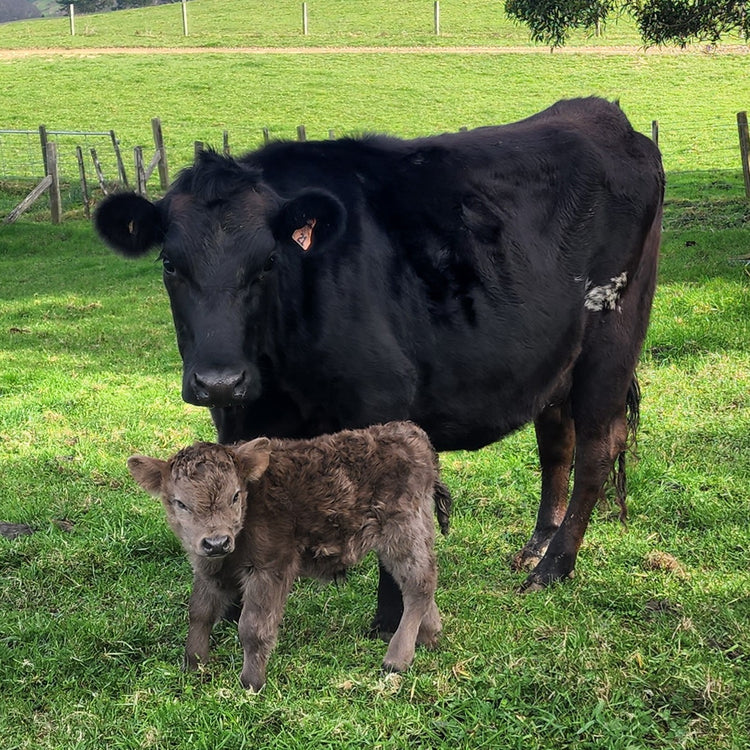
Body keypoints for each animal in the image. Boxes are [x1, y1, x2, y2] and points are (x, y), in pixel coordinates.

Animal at [96, 97, 664, 632]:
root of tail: (606, 117)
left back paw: (553, 568)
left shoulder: (385, 400)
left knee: (596, 451)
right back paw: (537, 547)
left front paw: (391, 618)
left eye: (269, 262)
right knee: (556, 444)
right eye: (170, 263)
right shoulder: (237, 416)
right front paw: (235, 609)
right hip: (554, 361)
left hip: (611, 343)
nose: (219, 380)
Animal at [127, 422, 452, 691]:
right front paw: (193, 665)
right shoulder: (208, 569)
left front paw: (251, 683)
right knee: (421, 583)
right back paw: (430, 637)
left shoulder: (270, 567)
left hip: (403, 529)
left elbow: (253, 627)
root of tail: (412, 433)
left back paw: (397, 659)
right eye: (180, 503)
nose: (217, 541)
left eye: (235, 496)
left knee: (418, 585)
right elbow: (199, 613)